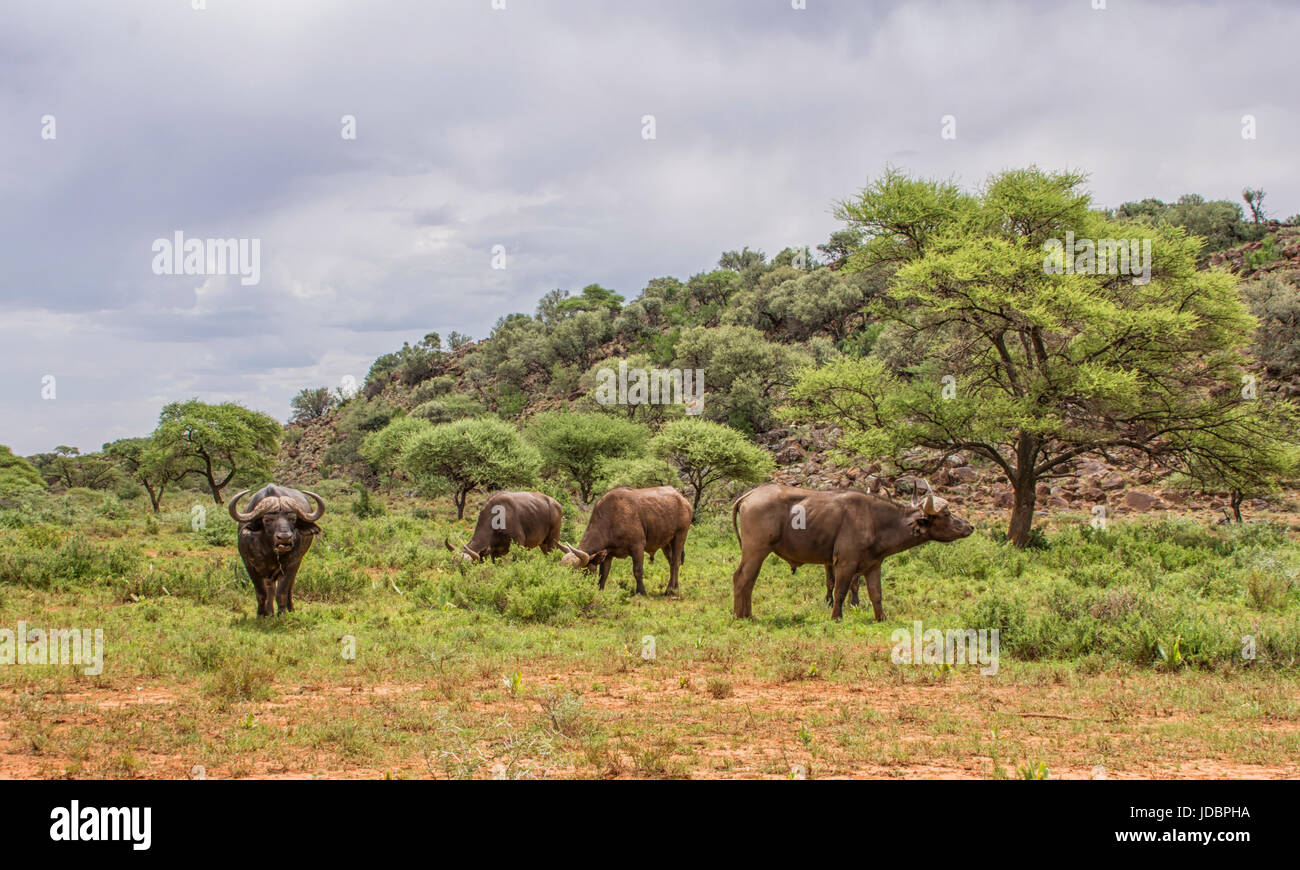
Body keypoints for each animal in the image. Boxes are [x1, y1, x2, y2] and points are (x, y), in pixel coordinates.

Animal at [227, 485, 326, 617]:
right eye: (267, 520)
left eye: (293, 519)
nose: (284, 538)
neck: (269, 551)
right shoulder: (249, 564)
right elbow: (261, 592)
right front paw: (261, 614)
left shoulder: (291, 564)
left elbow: (282, 592)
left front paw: (282, 613)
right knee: (270, 588)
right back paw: (269, 612)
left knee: (289, 587)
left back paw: (289, 609)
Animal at [559, 486, 691, 595]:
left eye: (577, 571)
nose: (566, 587)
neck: (611, 518)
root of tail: (683, 500)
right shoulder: (608, 554)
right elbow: (603, 573)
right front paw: (600, 590)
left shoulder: (637, 547)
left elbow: (638, 570)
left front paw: (641, 592)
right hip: (666, 543)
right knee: (672, 562)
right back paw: (675, 586)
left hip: (680, 536)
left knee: (675, 562)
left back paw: (669, 590)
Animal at [730, 483, 972, 620]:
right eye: (947, 514)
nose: (970, 526)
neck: (874, 520)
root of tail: (749, 495)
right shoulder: (845, 563)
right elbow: (840, 591)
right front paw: (836, 617)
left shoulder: (873, 565)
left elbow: (876, 594)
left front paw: (881, 618)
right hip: (756, 550)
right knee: (741, 578)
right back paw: (741, 616)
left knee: (749, 580)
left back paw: (747, 614)